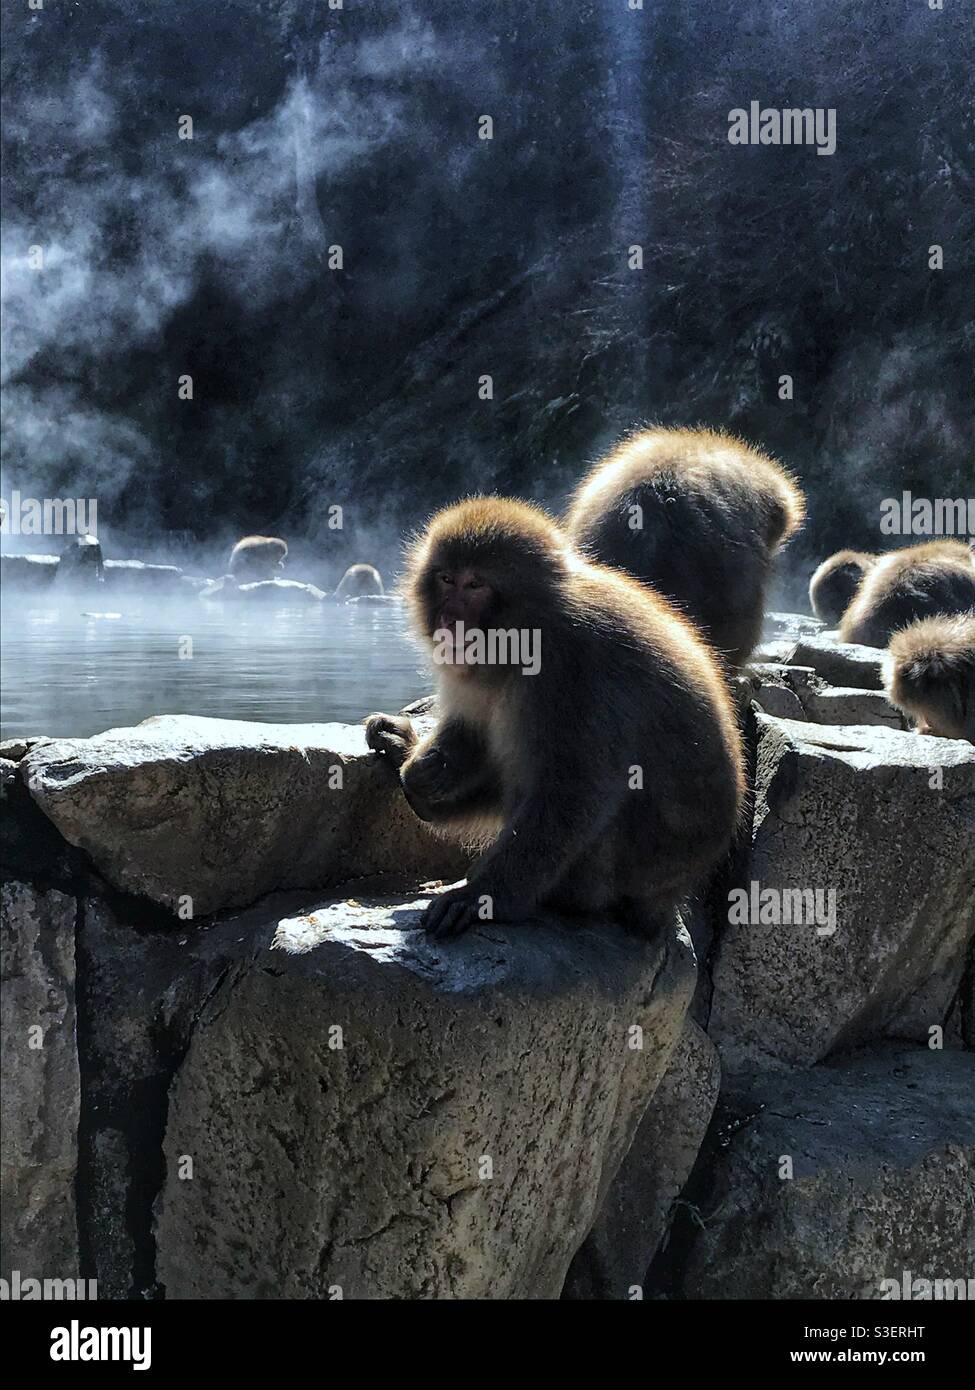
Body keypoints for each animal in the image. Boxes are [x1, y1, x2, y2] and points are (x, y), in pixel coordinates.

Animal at [364, 496, 746, 939]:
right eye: (446, 579)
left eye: (476, 585)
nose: (448, 620)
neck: (530, 629)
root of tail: (668, 897)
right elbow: (472, 733)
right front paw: (423, 768)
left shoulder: (571, 670)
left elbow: (572, 792)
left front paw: (481, 897)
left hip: (611, 878)